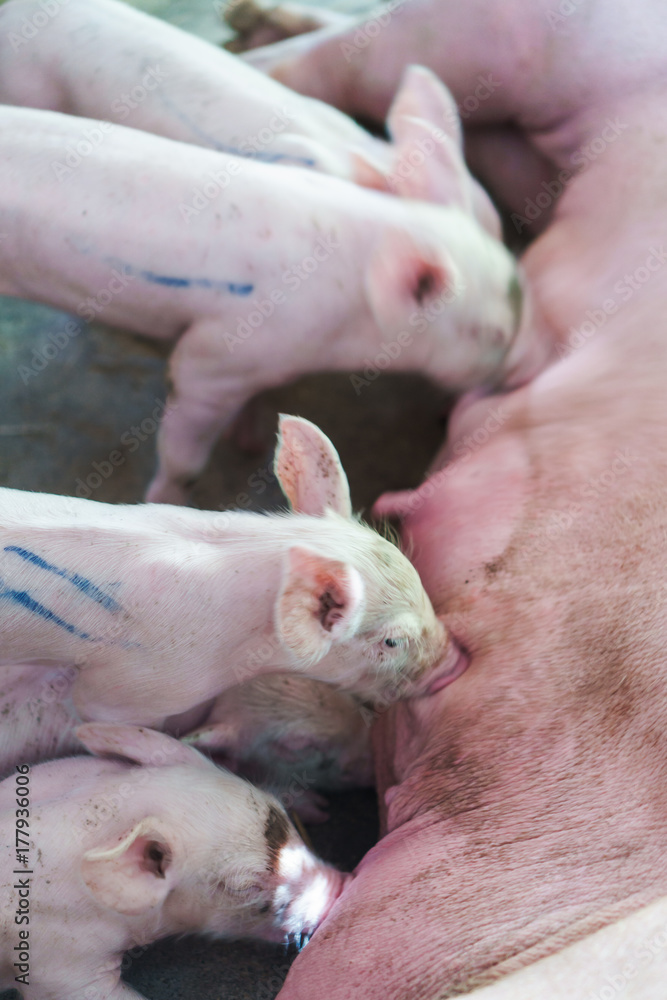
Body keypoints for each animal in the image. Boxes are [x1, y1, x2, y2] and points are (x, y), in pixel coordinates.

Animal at [0, 84, 522, 504]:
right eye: (494, 335)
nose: (520, 375)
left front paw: (248, 440)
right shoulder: (212, 357)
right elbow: (184, 451)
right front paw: (164, 502)